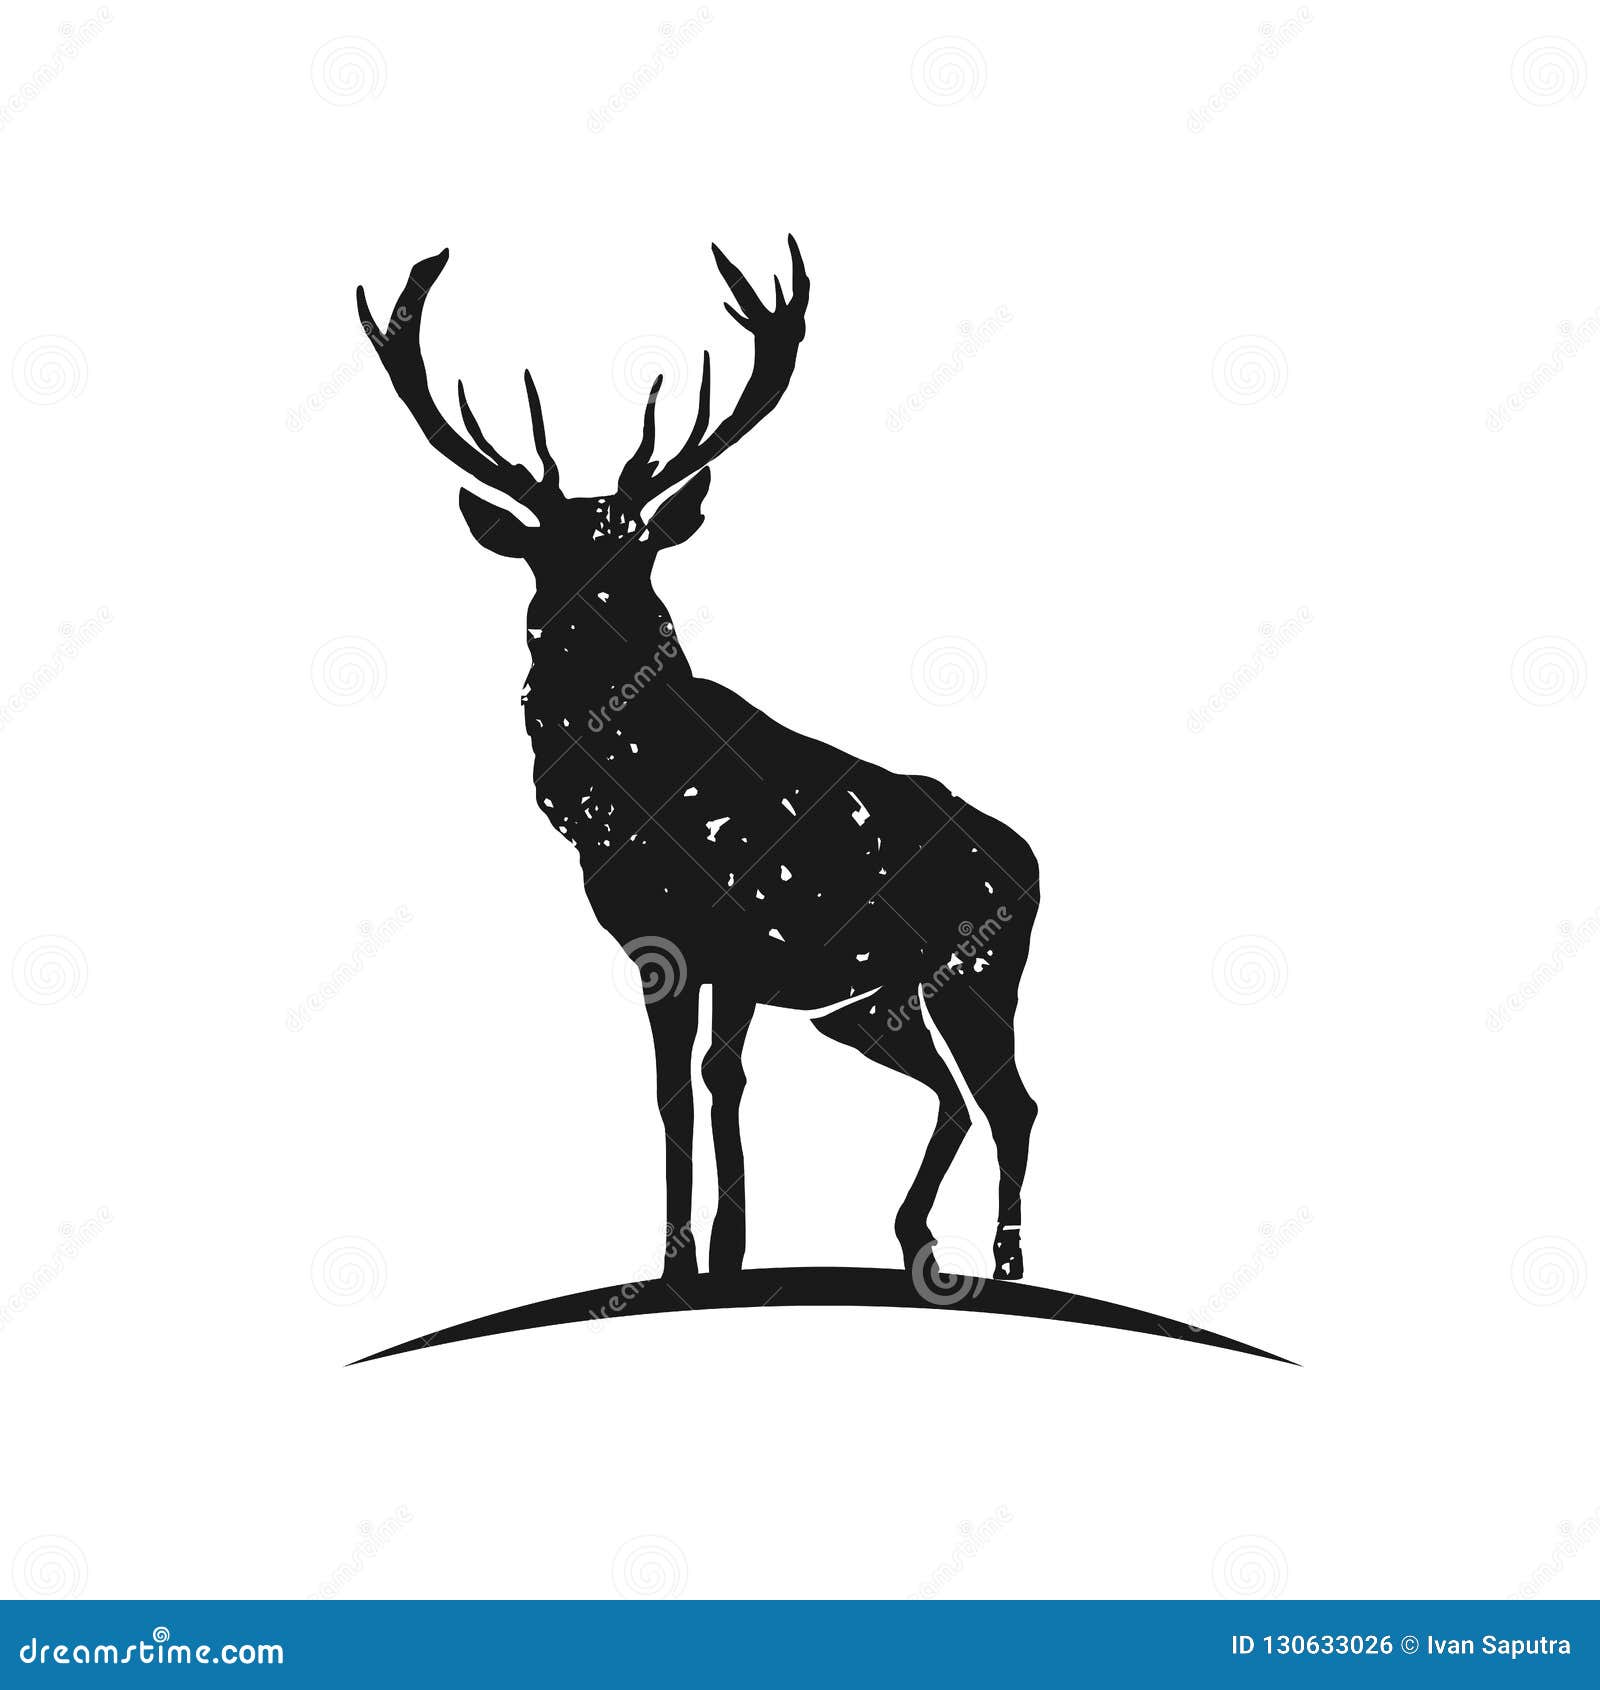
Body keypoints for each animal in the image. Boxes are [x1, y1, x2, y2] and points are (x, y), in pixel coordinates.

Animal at [356, 239, 1040, 1290]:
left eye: (638, 555)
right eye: (542, 557)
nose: (593, 626)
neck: (640, 809)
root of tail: (1036, 863)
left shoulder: (744, 939)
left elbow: (723, 1078)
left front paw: (725, 1256)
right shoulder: (657, 949)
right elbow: (671, 1090)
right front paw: (679, 1261)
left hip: (982, 968)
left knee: (1013, 1102)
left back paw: (1008, 1263)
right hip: (873, 1004)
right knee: (963, 1098)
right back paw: (918, 1237)